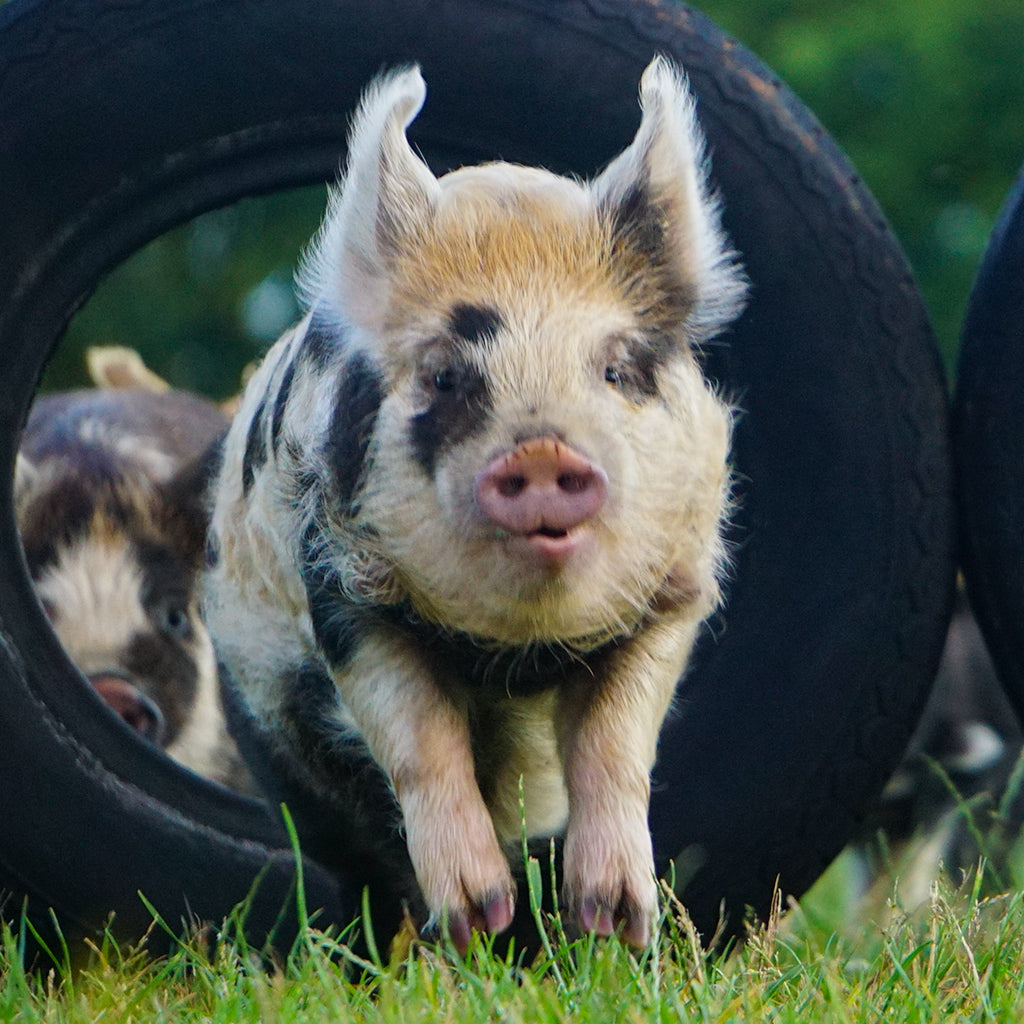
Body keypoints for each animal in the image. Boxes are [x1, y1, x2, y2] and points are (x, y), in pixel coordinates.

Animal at [204, 58, 747, 948]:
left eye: (617, 369)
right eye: (447, 375)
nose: (542, 450)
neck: (514, 657)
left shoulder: (672, 594)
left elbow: (617, 748)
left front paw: (615, 924)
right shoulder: (345, 594)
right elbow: (421, 745)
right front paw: (477, 915)